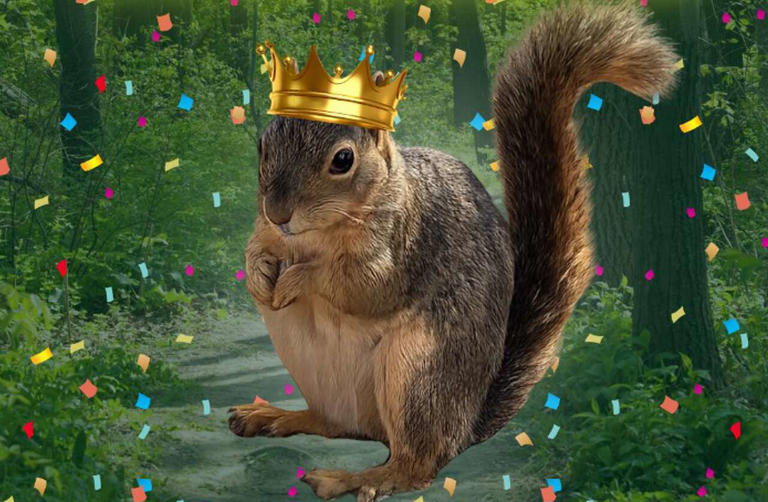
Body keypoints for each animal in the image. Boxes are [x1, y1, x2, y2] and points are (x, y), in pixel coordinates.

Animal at [229, 3, 677, 501]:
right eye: (262, 145)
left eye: (343, 160)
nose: (277, 211)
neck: (312, 236)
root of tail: (469, 421)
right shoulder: (266, 233)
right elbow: (255, 248)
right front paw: (259, 276)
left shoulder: (404, 245)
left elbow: (361, 286)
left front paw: (297, 278)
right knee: (338, 424)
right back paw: (272, 415)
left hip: (419, 374)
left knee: (416, 463)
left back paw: (355, 477)